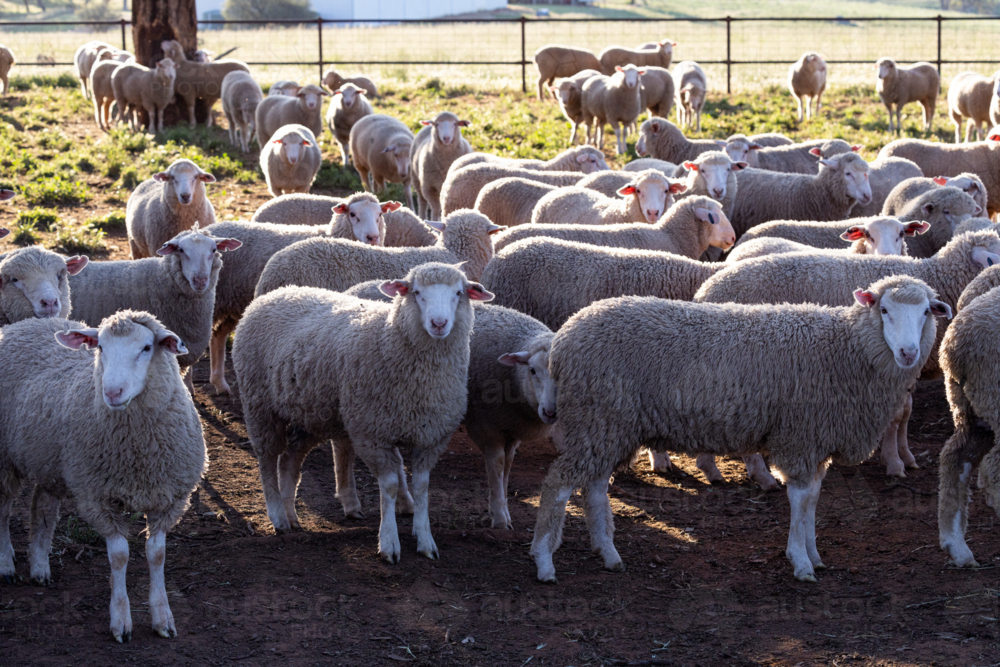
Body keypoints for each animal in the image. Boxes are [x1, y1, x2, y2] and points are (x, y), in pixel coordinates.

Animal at [0, 310, 206, 641]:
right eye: (100, 347)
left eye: (147, 348)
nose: (112, 392)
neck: (138, 453)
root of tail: (25, 323)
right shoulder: (97, 497)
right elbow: (119, 556)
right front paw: (121, 620)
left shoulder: (168, 497)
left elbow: (157, 554)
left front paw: (163, 618)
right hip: (6, 458)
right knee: (4, 509)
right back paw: (6, 564)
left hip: (50, 460)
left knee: (42, 507)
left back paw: (40, 566)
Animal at [232, 263, 490, 563]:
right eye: (416, 292)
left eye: (459, 293)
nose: (439, 324)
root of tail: (278, 292)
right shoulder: (372, 432)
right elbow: (389, 486)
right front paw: (389, 543)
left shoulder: (431, 437)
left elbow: (422, 488)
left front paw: (425, 540)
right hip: (259, 404)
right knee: (267, 459)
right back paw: (277, 517)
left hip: (311, 413)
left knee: (290, 459)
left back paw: (292, 515)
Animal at [530, 274, 947, 583]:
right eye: (885, 309)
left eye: (927, 312)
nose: (909, 352)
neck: (845, 350)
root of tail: (564, 339)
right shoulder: (799, 436)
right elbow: (799, 499)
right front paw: (800, 562)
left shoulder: (816, 441)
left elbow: (812, 499)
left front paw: (814, 553)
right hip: (597, 416)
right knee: (558, 484)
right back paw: (544, 560)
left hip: (607, 424)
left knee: (595, 487)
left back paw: (608, 553)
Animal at [696, 230, 1000, 477]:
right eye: (990, 258)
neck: (938, 275)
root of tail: (705, 290)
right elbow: (896, 416)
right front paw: (895, 462)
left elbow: (905, 412)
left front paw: (906, 455)